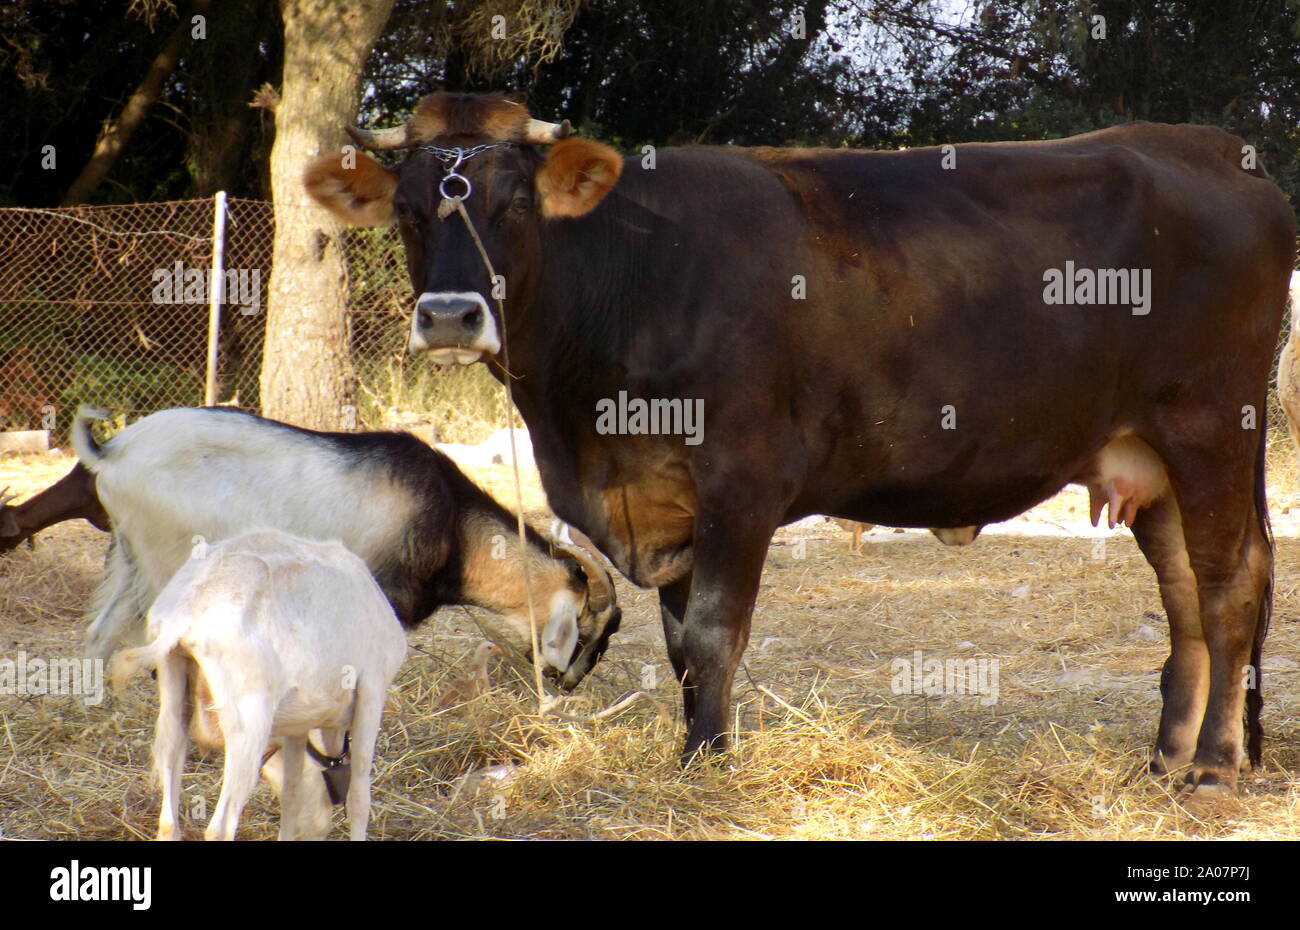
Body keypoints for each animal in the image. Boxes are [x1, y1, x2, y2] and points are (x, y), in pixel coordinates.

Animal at [71, 405, 620, 690]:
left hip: (132, 558)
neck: (453, 525)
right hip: (167, 560)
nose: (569, 684)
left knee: (102, 630)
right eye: (589, 628)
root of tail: (112, 453)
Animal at [110, 529, 407, 840]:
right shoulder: (372, 693)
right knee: (220, 827)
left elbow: (292, 795)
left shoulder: (297, 726)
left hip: (173, 693)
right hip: (248, 725)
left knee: (168, 816)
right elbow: (359, 798)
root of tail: (188, 611)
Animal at [305, 91, 1295, 792]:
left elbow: (713, 634)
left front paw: (704, 768)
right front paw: (700, 748)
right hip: (1149, 458)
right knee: (1185, 598)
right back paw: (1166, 762)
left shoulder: (742, 481)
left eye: (513, 204)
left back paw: (1215, 767)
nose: (449, 316)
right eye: (410, 208)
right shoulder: (669, 505)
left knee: (1231, 586)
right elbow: (680, 646)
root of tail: (1205, 145)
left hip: (1208, 426)